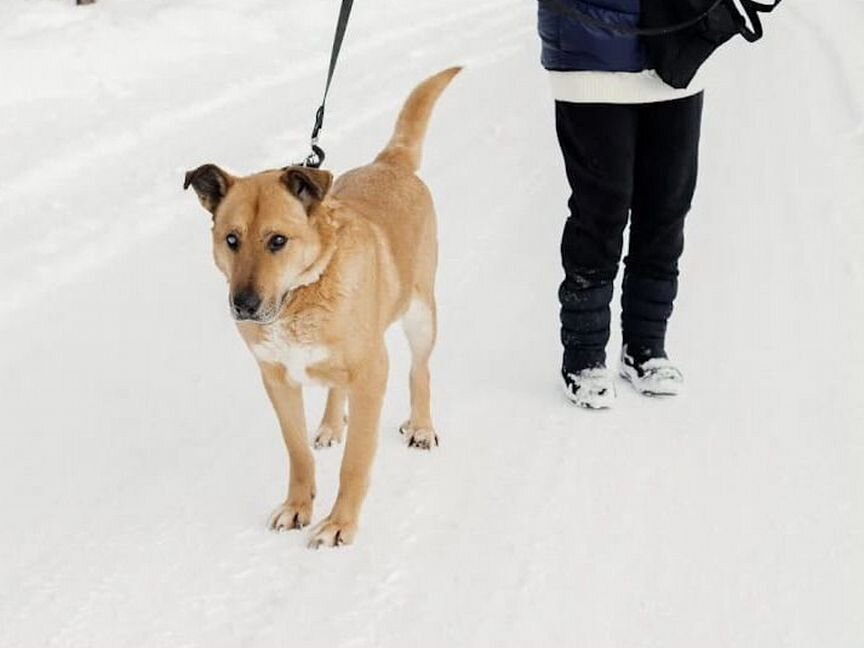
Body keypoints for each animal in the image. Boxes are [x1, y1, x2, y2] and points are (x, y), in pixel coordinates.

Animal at [184, 68, 460, 548]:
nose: (244, 306)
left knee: (420, 370)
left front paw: (339, 523)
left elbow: (356, 463)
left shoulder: (371, 374)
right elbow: (296, 452)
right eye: (231, 239)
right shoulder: (276, 380)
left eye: (277, 240)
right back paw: (332, 425)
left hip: (422, 314)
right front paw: (298, 506)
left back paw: (422, 426)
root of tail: (389, 163)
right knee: (336, 388)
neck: (302, 296)